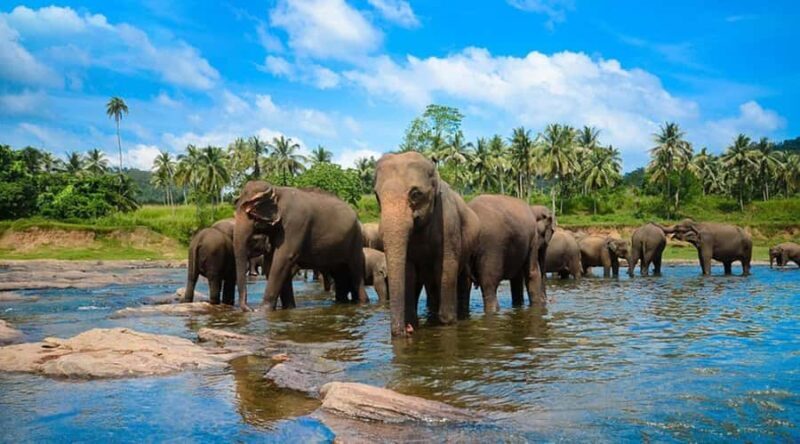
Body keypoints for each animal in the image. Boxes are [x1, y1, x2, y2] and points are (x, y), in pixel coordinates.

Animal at [234, 181, 367, 311]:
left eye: (250, 213)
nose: (250, 309)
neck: (276, 190)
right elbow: (271, 263)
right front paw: (288, 308)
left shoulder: (295, 223)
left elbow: (283, 258)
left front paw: (263, 310)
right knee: (339, 274)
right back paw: (341, 302)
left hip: (356, 240)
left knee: (355, 273)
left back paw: (363, 302)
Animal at [374, 152, 480, 336]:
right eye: (377, 197)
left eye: (415, 194)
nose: (406, 330)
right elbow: (409, 272)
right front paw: (412, 323)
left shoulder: (449, 225)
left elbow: (446, 268)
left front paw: (447, 322)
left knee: (462, 280)